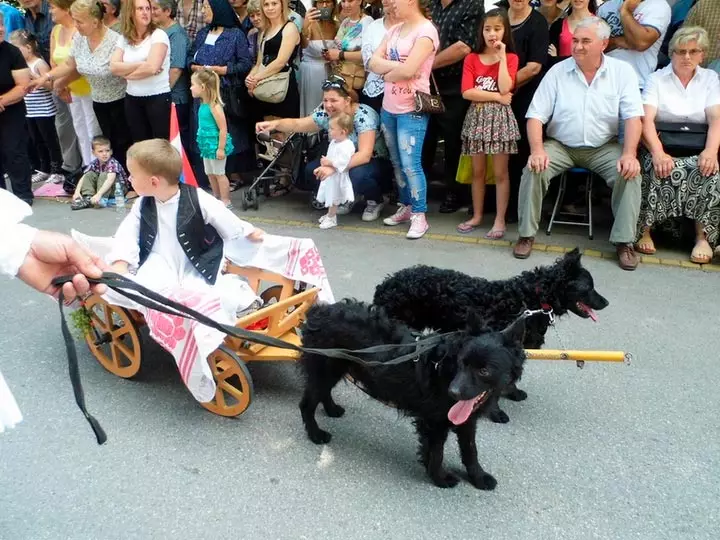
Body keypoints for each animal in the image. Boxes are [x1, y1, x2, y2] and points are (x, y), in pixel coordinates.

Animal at [296, 302, 524, 492]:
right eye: (462, 362)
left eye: (484, 370)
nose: (453, 392)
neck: (445, 368)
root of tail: (317, 311)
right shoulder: (434, 422)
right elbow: (437, 453)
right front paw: (440, 478)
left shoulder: (466, 421)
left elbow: (470, 451)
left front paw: (479, 477)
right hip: (324, 370)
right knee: (306, 404)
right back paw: (316, 434)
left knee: (323, 393)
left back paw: (332, 409)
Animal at [374, 248, 612, 422]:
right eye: (588, 287)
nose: (606, 302)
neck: (529, 299)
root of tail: (385, 284)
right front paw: (496, 412)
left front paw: (513, 392)